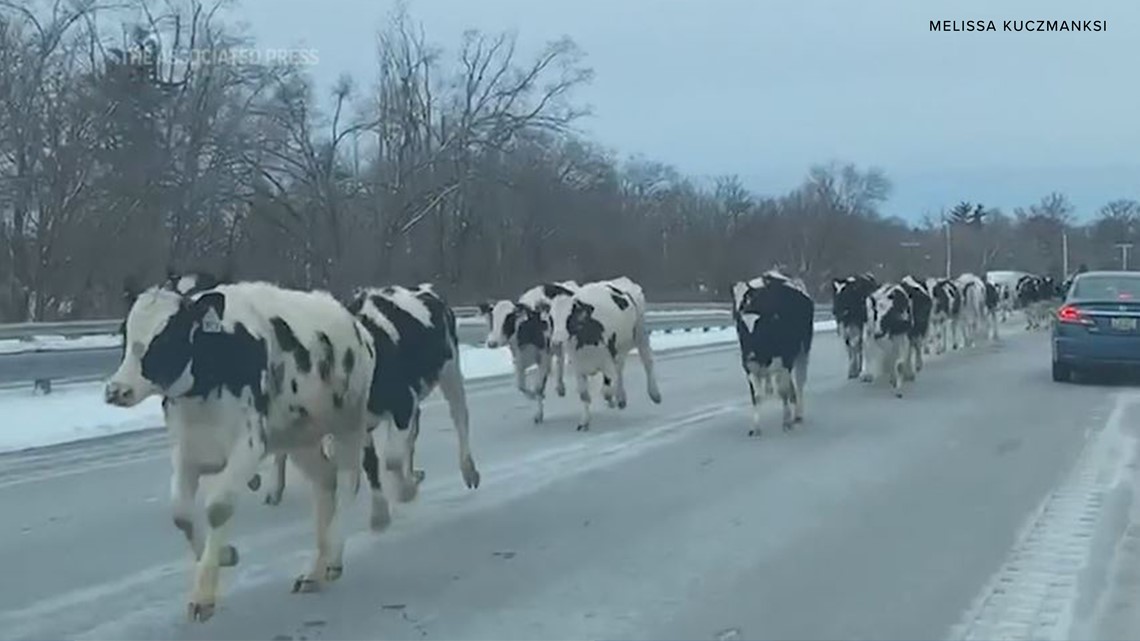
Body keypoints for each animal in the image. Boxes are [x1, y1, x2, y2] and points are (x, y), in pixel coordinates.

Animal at [105, 280, 377, 621]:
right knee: (325, 481)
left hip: (348, 422)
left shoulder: (248, 444)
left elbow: (218, 507)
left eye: (167, 335)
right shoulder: (186, 448)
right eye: (125, 333)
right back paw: (316, 568)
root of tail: (354, 324)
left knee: (349, 481)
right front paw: (225, 555)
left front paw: (204, 595)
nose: (117, 390)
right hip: (299, 434)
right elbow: (181, 513)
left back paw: (332, 558)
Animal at [345, 284, 480, 525]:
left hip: (450, 369)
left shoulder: (403, 403)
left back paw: (468, 470)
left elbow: (391, 459)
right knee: (411, 438)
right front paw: (379, 513)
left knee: (459, 416)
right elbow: (371, 463)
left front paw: (406, 491)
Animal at [478, 280, 579, 424]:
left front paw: (538, 412)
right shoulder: (520, 359)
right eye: (492, 318)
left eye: (508, 319)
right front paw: (533, 398)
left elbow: (538, 387)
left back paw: (560, 388)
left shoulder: (544, 356)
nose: (492, 343)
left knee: (560, 360)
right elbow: (520, 385)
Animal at [550, 276, 662, 431]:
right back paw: (621, 398)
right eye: (552, 318)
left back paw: (654, 394)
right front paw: (584, 422)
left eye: (569, 317)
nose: (556, 342)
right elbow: (584, 395)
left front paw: (610, 399)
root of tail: (623, 279)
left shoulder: (607, 361)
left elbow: (607, 388)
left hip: (640, 334)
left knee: (647, 362)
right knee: (620, 368)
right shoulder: (579, 367)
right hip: (621, 348)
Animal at [732, 270, 814, 435]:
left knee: (800, 382)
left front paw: (786, 422)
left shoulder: (786, 359)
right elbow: (756, 396)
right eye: (740, 325)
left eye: (760, 324)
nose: (750, 355)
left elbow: (783, 391)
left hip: (803, 352)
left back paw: (798, 414)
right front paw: (756, 427)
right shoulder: (750, 368)